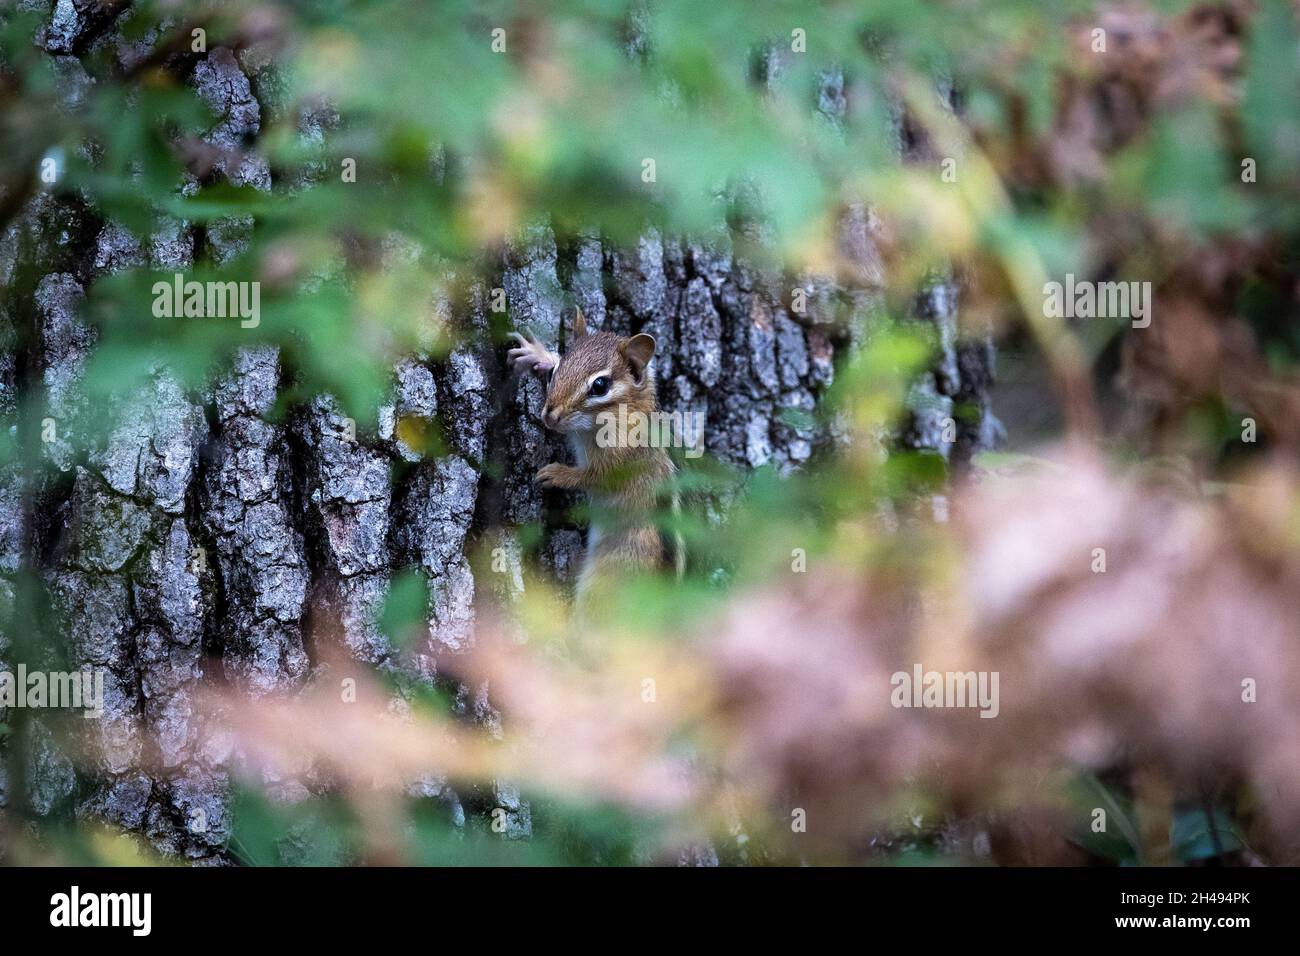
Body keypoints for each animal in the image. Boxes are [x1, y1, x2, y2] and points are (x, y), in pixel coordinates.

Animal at [508, 309, 683, 600]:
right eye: (555, 371)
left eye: (600, 386)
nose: (549, 417)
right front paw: (537, 354)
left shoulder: (621, 459)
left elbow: (594, 477)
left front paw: (556, 474)